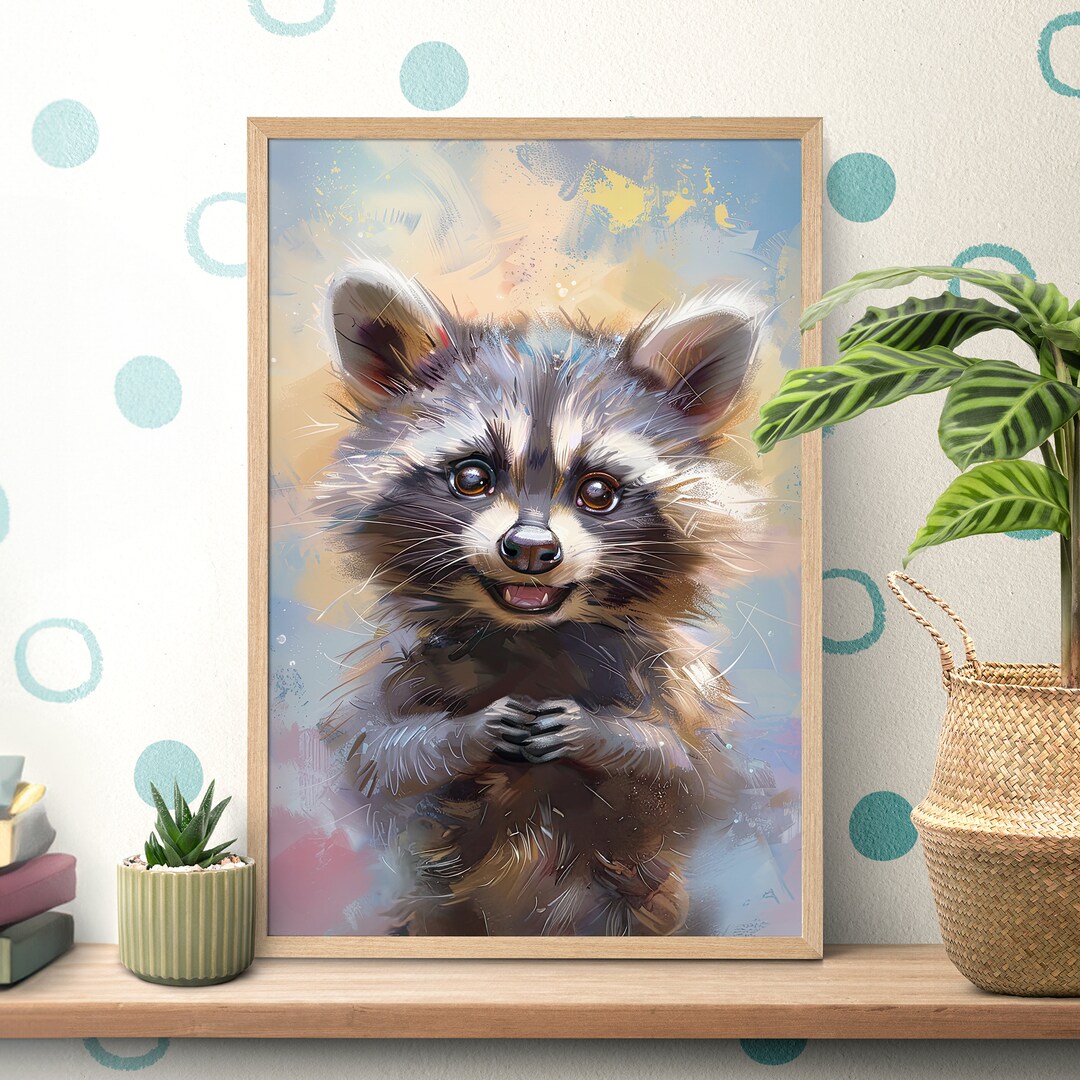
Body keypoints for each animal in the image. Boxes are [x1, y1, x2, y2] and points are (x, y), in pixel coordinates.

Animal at [316, 262, 764, 937]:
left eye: (598, 491)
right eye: (472, 477)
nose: (529, 549)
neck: (531, 635)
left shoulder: (684, 687)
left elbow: (688, 773)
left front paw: (611, 736)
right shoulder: (394, 669)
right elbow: (377, 758)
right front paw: (463, 733)